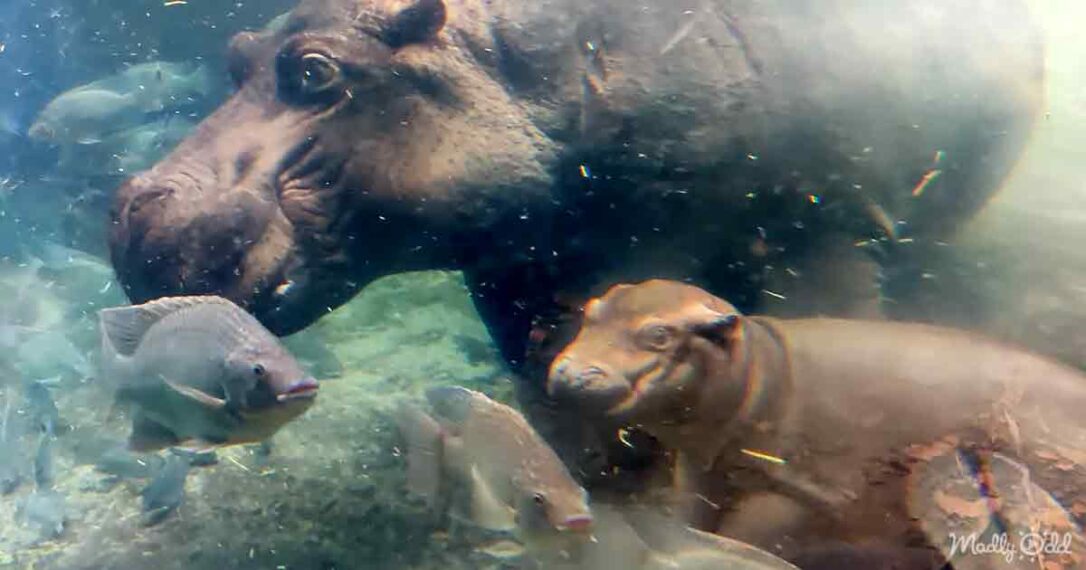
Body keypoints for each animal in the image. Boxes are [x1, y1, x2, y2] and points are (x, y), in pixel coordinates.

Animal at [108, 0, 1042, 477]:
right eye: (233, 53)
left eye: (314, 69)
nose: (136, 210)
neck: (511, 60)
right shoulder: (522, 271)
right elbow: (555, 405)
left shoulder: (816, 226)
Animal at [548, 280, 1086, 568]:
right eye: (592, 310)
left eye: (659, 334)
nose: (569, 372)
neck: (760, 370)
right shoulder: (702, 466)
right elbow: (689, 515)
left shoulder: (808, 492)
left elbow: (751, 532)